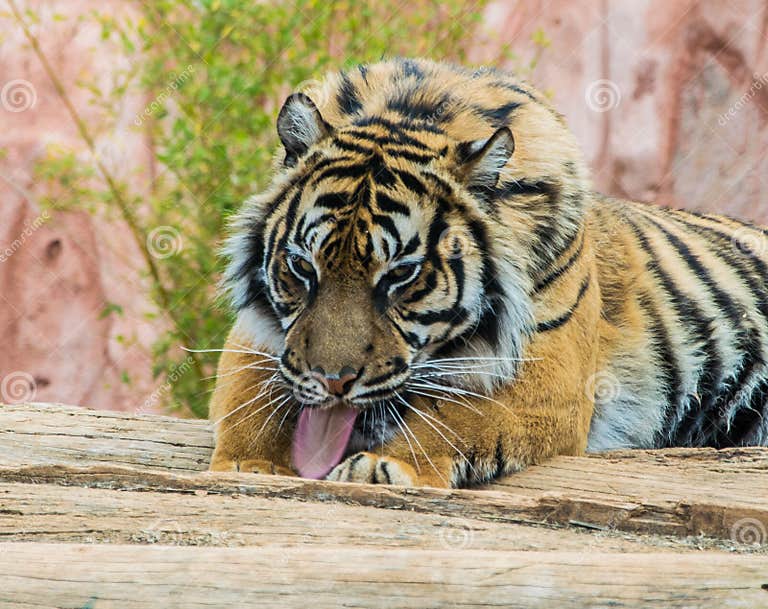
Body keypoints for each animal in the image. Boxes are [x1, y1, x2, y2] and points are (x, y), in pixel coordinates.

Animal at [209, 57, 768, 488]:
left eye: (400, 275)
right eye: (303, 267)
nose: (332, 382)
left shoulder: (552, 376)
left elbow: (460, 416)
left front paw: (385, 466)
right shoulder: (259, 338)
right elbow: (250, 398)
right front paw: (252, 466)